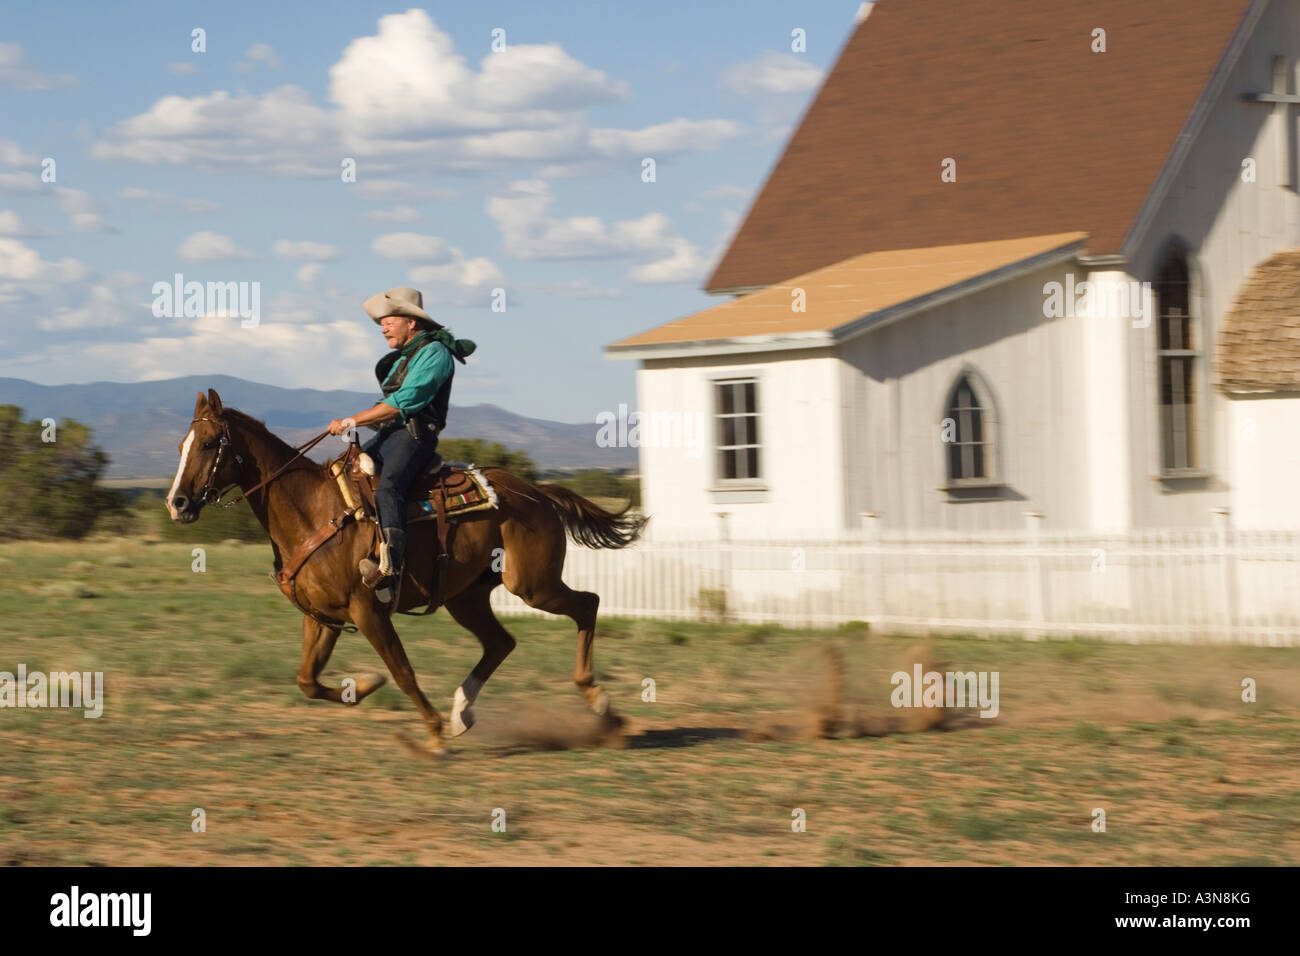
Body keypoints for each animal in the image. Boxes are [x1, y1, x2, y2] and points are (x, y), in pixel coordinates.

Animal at [166, 388, 645, 755]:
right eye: (181, 446)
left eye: (208, 444)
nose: (177, 503)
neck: (311, 510)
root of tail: (537, 493)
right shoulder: (323, 618)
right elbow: (307, 680)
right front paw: (364, 685)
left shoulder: (367, 611)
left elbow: (402, 671)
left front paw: (431, 734)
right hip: (467, 596)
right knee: (500, 642)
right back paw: (462, 712)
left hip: (532, 585)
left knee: (587, 605)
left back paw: (601, 705)